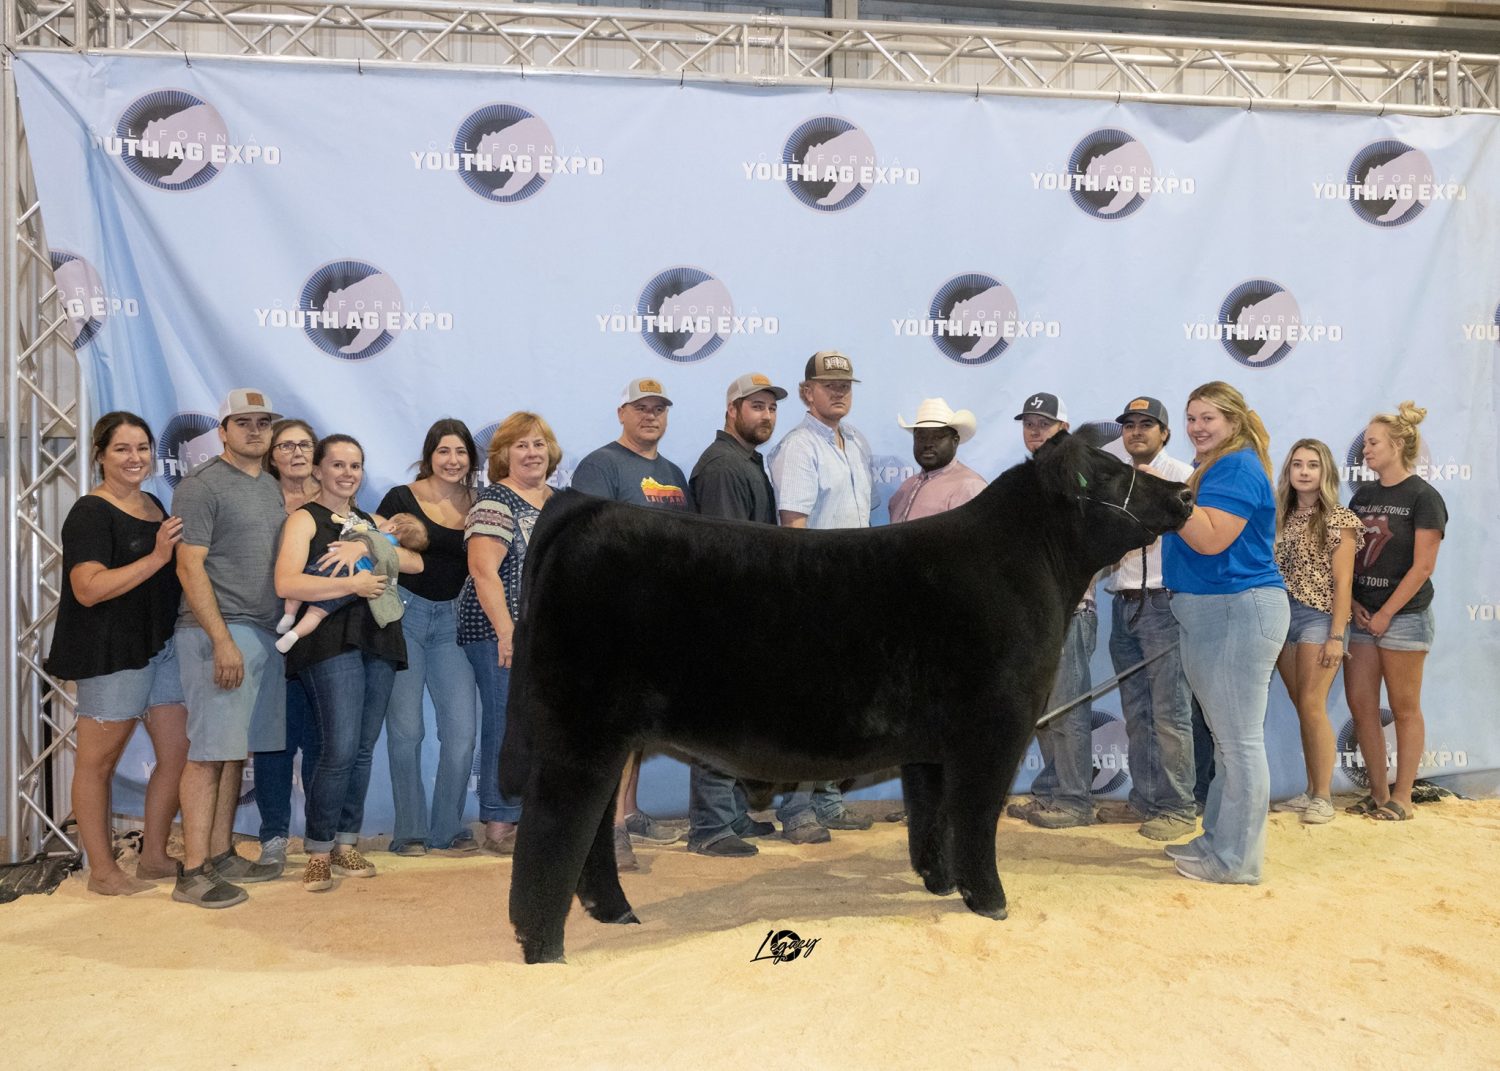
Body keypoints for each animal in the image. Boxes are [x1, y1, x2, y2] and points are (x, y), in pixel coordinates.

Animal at [500, 431, 1193, 963]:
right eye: (1109, 473)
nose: (1186, 493)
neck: (1031, 564)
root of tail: (590, 509)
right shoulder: (995, 729)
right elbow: (974, 818)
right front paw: (990, 900)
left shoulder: (933, 745)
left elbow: (930, 815)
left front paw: (939, 882)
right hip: (579, 728)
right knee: (554, 828)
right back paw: (544, 946)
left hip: (603, 735)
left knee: (590, 828)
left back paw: (614, 912)